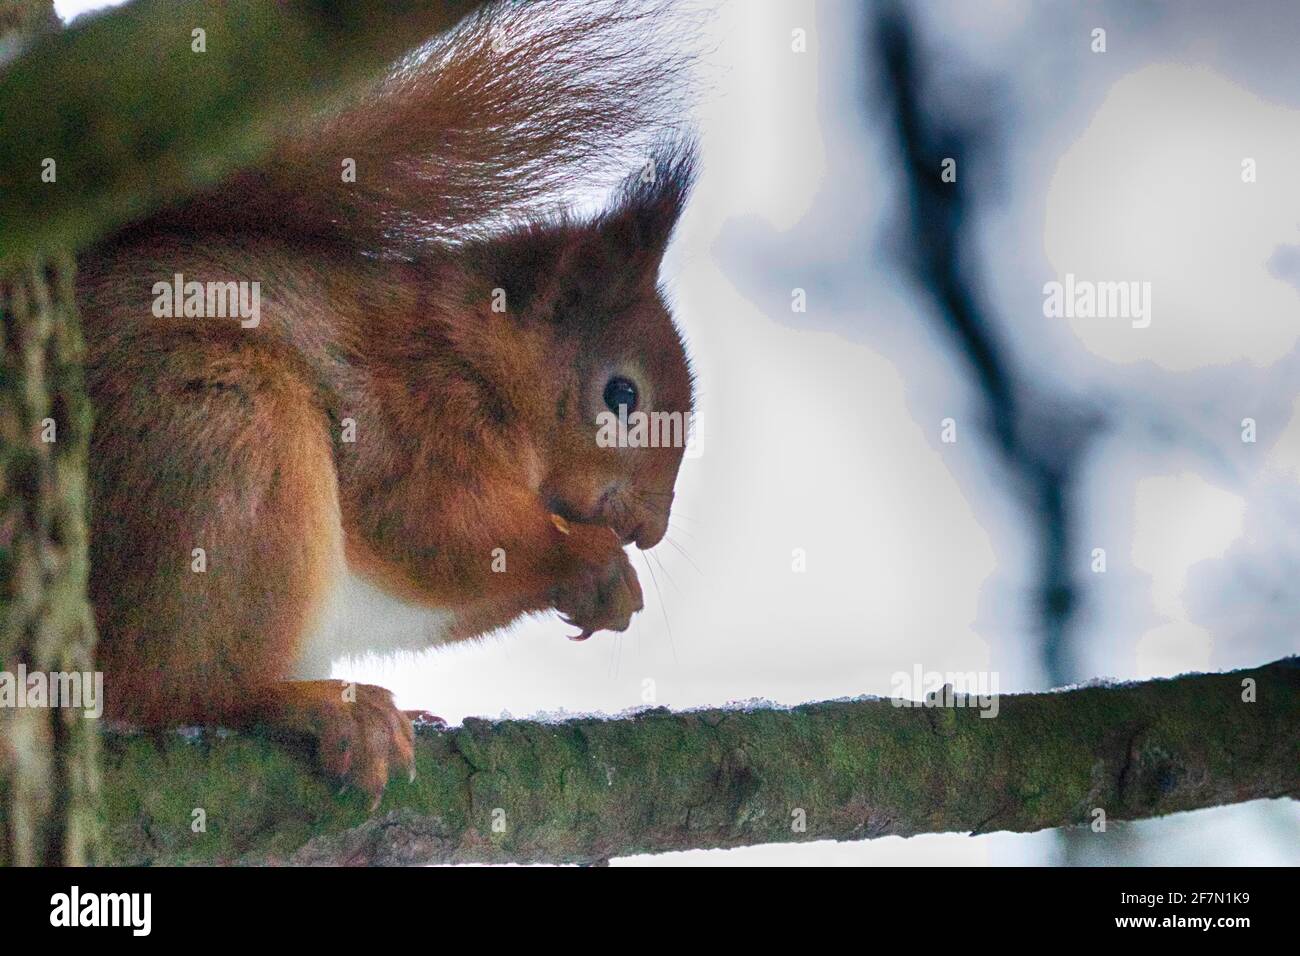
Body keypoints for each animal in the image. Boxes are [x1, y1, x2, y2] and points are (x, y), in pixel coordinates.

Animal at [75, 2, 696, 803]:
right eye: (622, 395)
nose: (649, 530)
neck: (479, 359)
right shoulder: (412, 412)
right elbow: (433, 527)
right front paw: (587, 555)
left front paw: (604, 590)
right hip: (223, 437)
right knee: (164, 689)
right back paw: (306, 705)